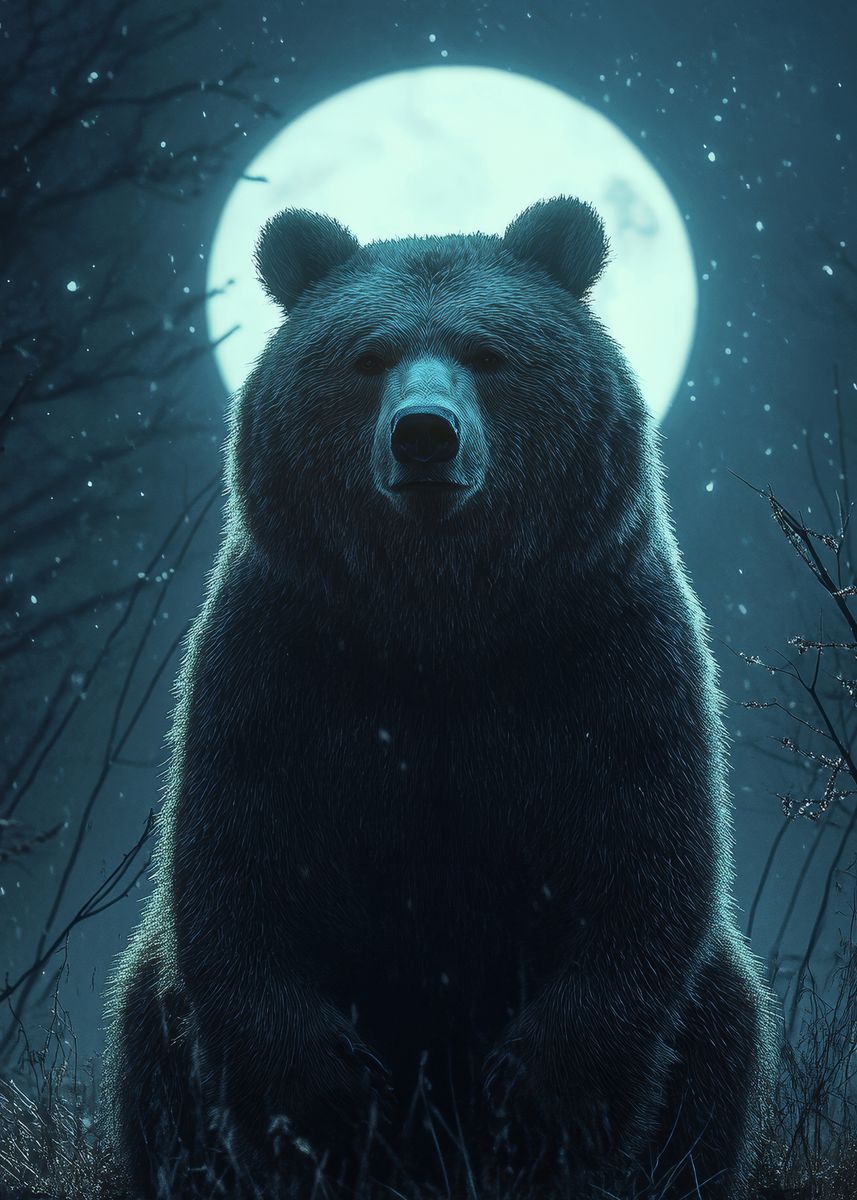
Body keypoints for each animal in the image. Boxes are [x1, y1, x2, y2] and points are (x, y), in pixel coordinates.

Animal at [102, 195, 778, 1200]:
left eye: (488, 353)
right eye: (367, 356)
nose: (425, 433)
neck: (440, 623)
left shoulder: (598, 651)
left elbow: (644, 852)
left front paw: (538, 1094)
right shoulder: (287, 658)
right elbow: (238, 862)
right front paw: (326, 1096)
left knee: (721, 1025)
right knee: (150, 1027)